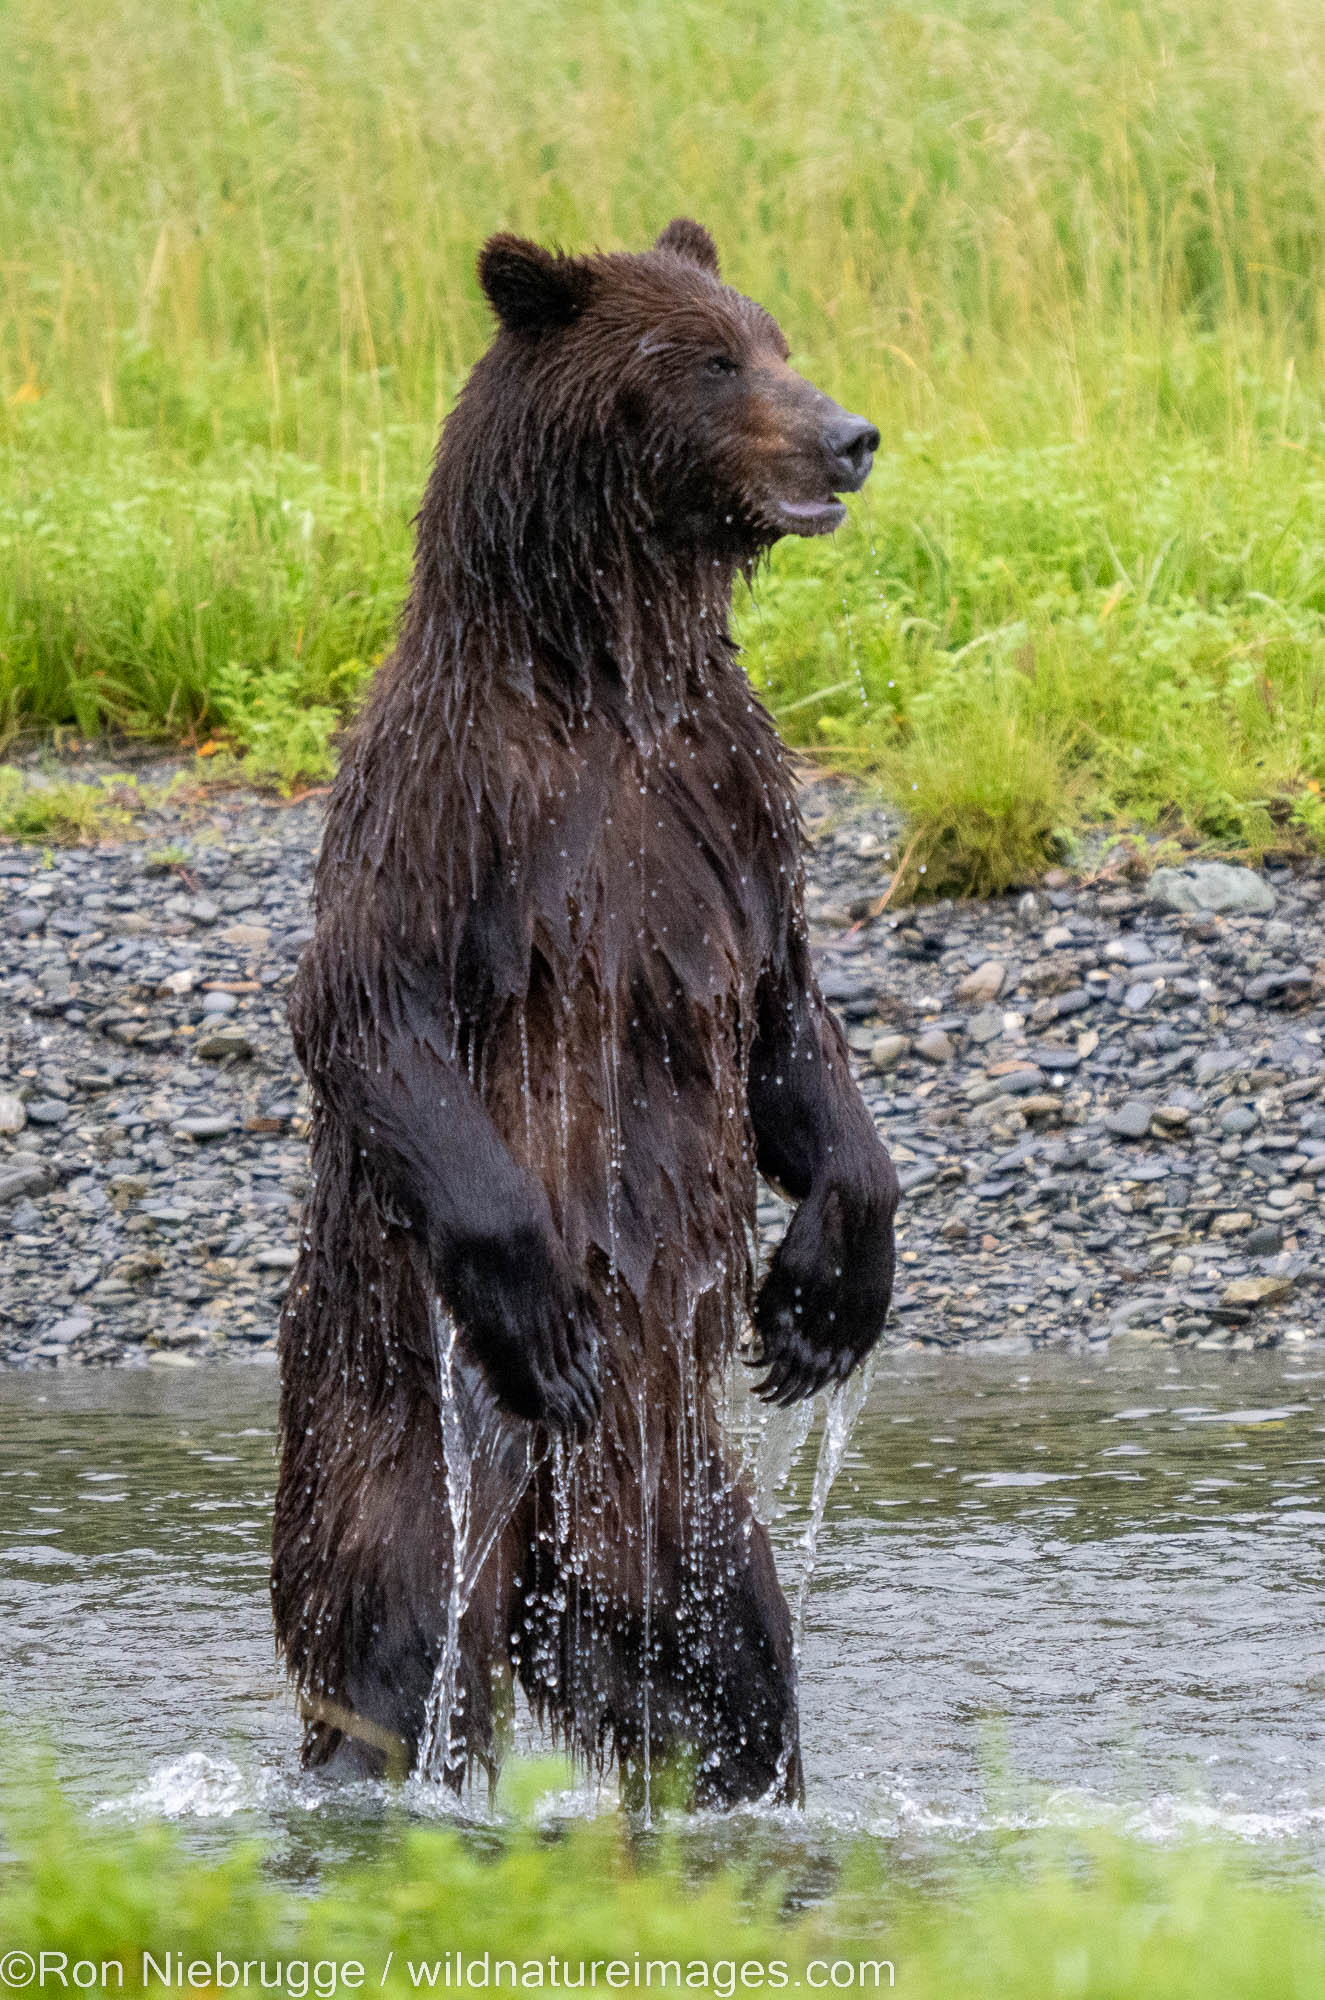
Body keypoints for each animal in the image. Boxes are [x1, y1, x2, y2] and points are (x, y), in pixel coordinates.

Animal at [271, 217, 899, 1808]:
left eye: (777, 334)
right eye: (711, 359)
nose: (851, 434)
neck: (606, 676)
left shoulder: (722, 801)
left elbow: (783, 1019)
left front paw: (826, 1291)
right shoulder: (456, 797)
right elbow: (369, 1002)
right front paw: (544, 1302)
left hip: (661, 1494)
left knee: (723, 1655)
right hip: (391, 1418)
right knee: (387, 1640)